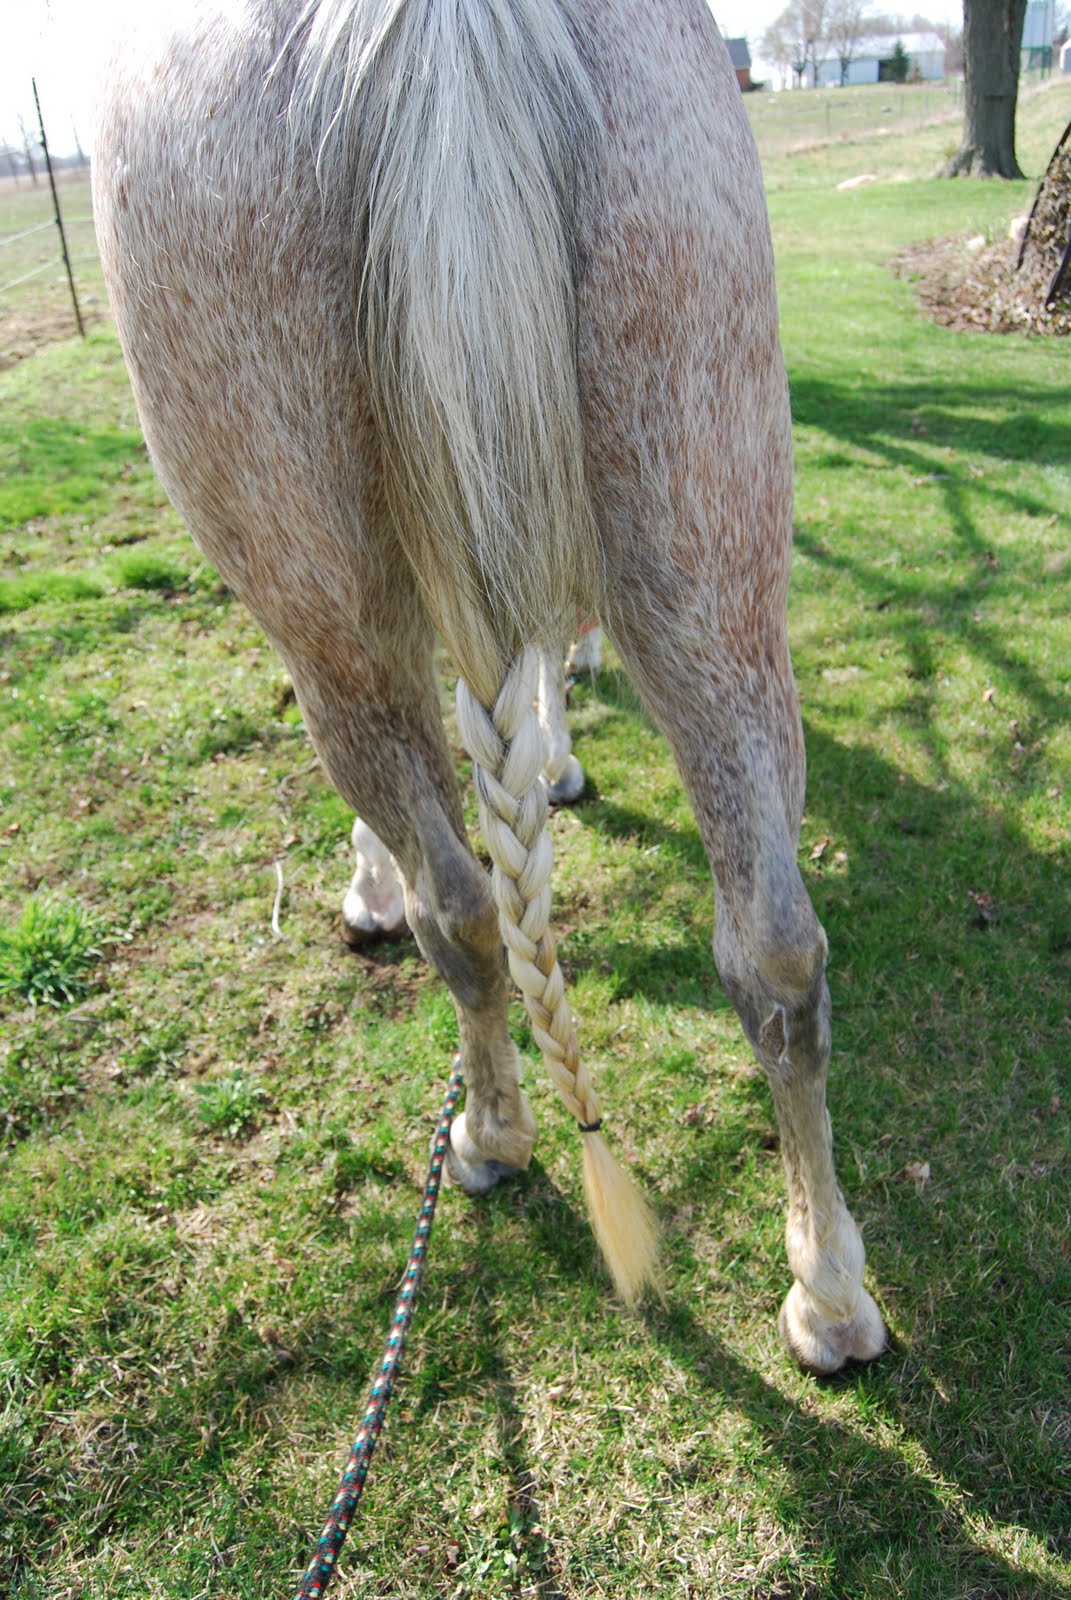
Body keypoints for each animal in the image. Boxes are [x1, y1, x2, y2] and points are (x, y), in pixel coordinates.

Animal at [93, 0, 886, 1371]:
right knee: (773, 947)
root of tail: (442, 28)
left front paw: (366, 882)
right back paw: (829, 1292)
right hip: (704, 521)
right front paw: (555, 761)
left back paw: (490, 1134)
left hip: (321, 596)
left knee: (459, 903)